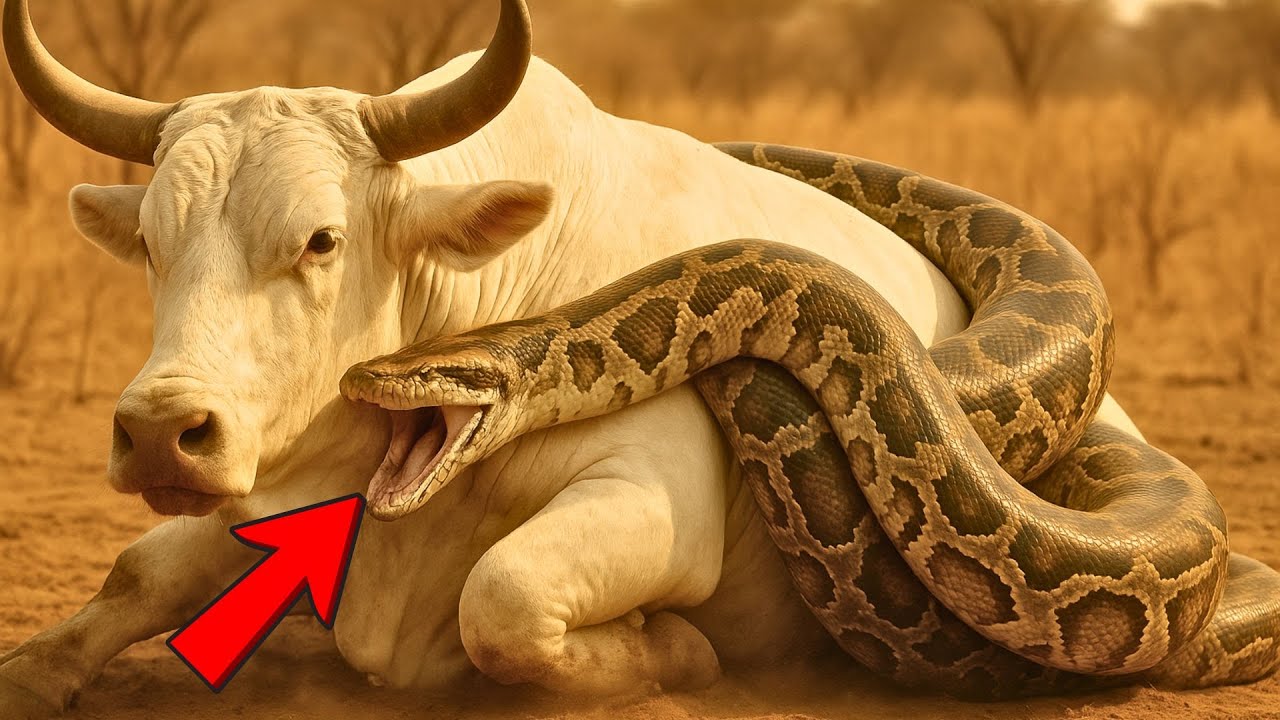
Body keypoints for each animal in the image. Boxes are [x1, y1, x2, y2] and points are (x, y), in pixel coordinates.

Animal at [0, 0, 1145, 716]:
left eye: (321, 240)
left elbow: (502, 602)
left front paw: (670, 652)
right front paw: (36, 670)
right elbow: (139, 571)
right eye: (150, 243)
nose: (161, 433)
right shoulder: (273, 473)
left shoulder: (653, 501)